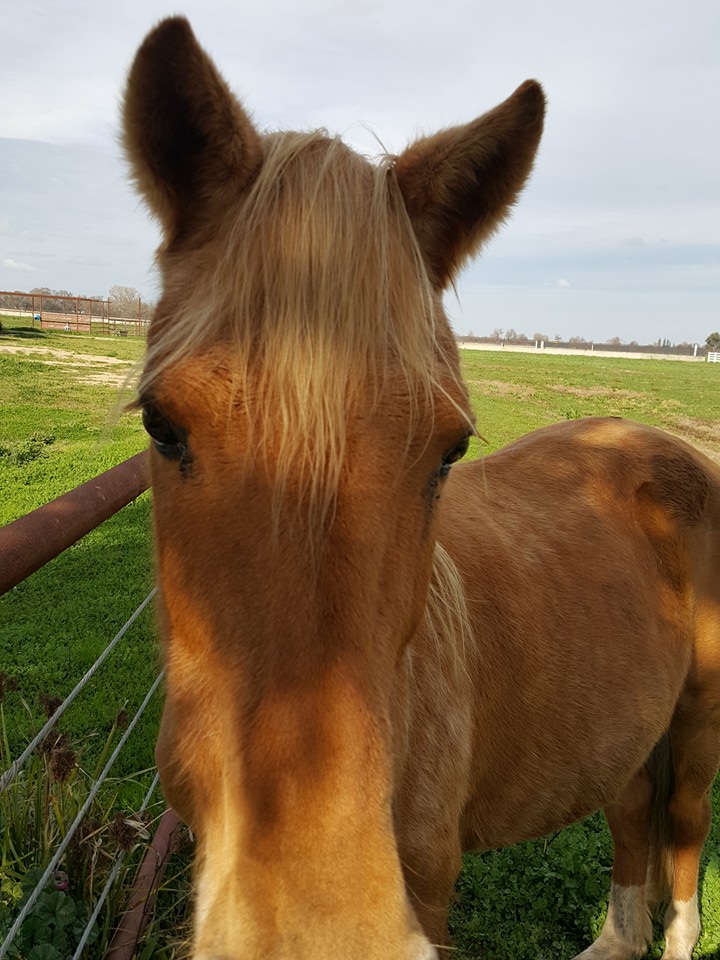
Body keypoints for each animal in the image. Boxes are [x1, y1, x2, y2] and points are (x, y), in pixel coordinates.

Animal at [124, 17, 720, 960]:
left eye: (450, 449)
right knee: (631, 812)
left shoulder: (432, 881)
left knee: (687, 829)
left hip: (698, 723)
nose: (322, 935)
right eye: (159, 424)